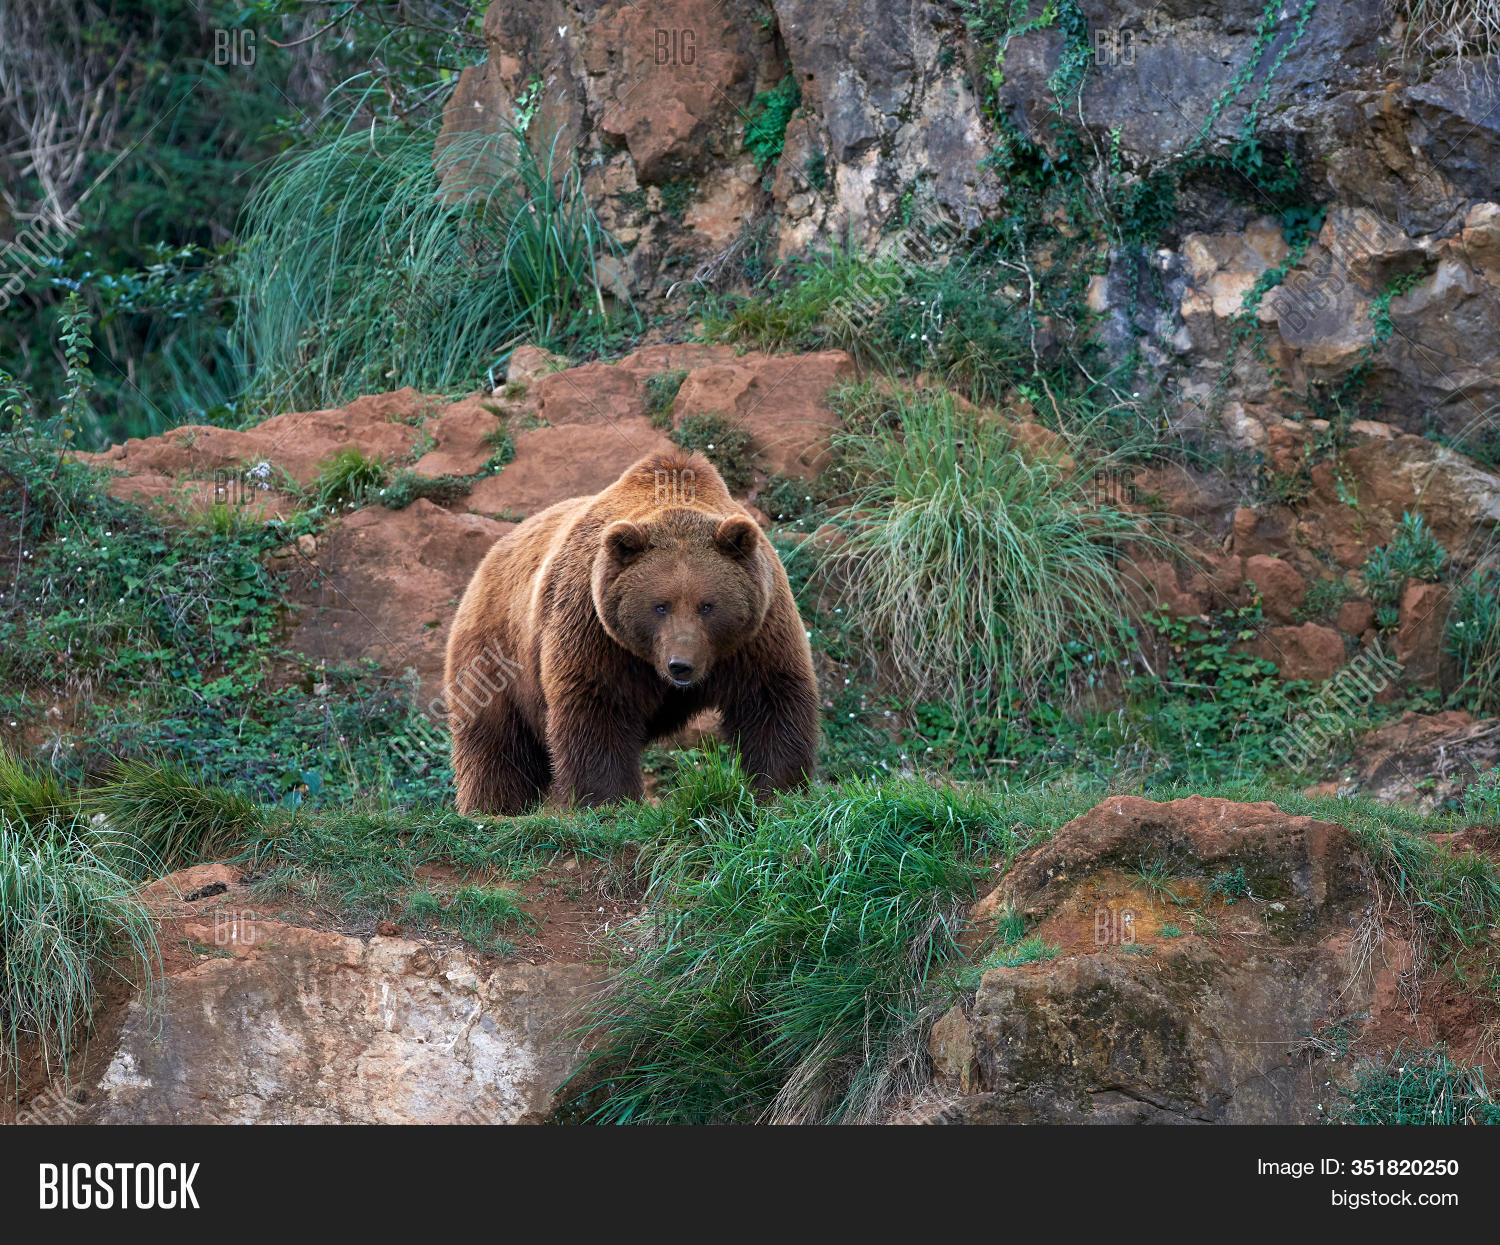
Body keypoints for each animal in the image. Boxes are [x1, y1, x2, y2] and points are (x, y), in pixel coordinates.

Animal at [443, 449, 820, 814]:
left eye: (707, 606)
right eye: (661, 605)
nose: (680, 665)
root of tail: (490, 556)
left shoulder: (758, 630)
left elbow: (771, 699)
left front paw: (780, 789)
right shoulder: (596, 627)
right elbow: (596, 706)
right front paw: (607, 800)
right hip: (496, 652)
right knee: (496, 738)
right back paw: (491, 806)